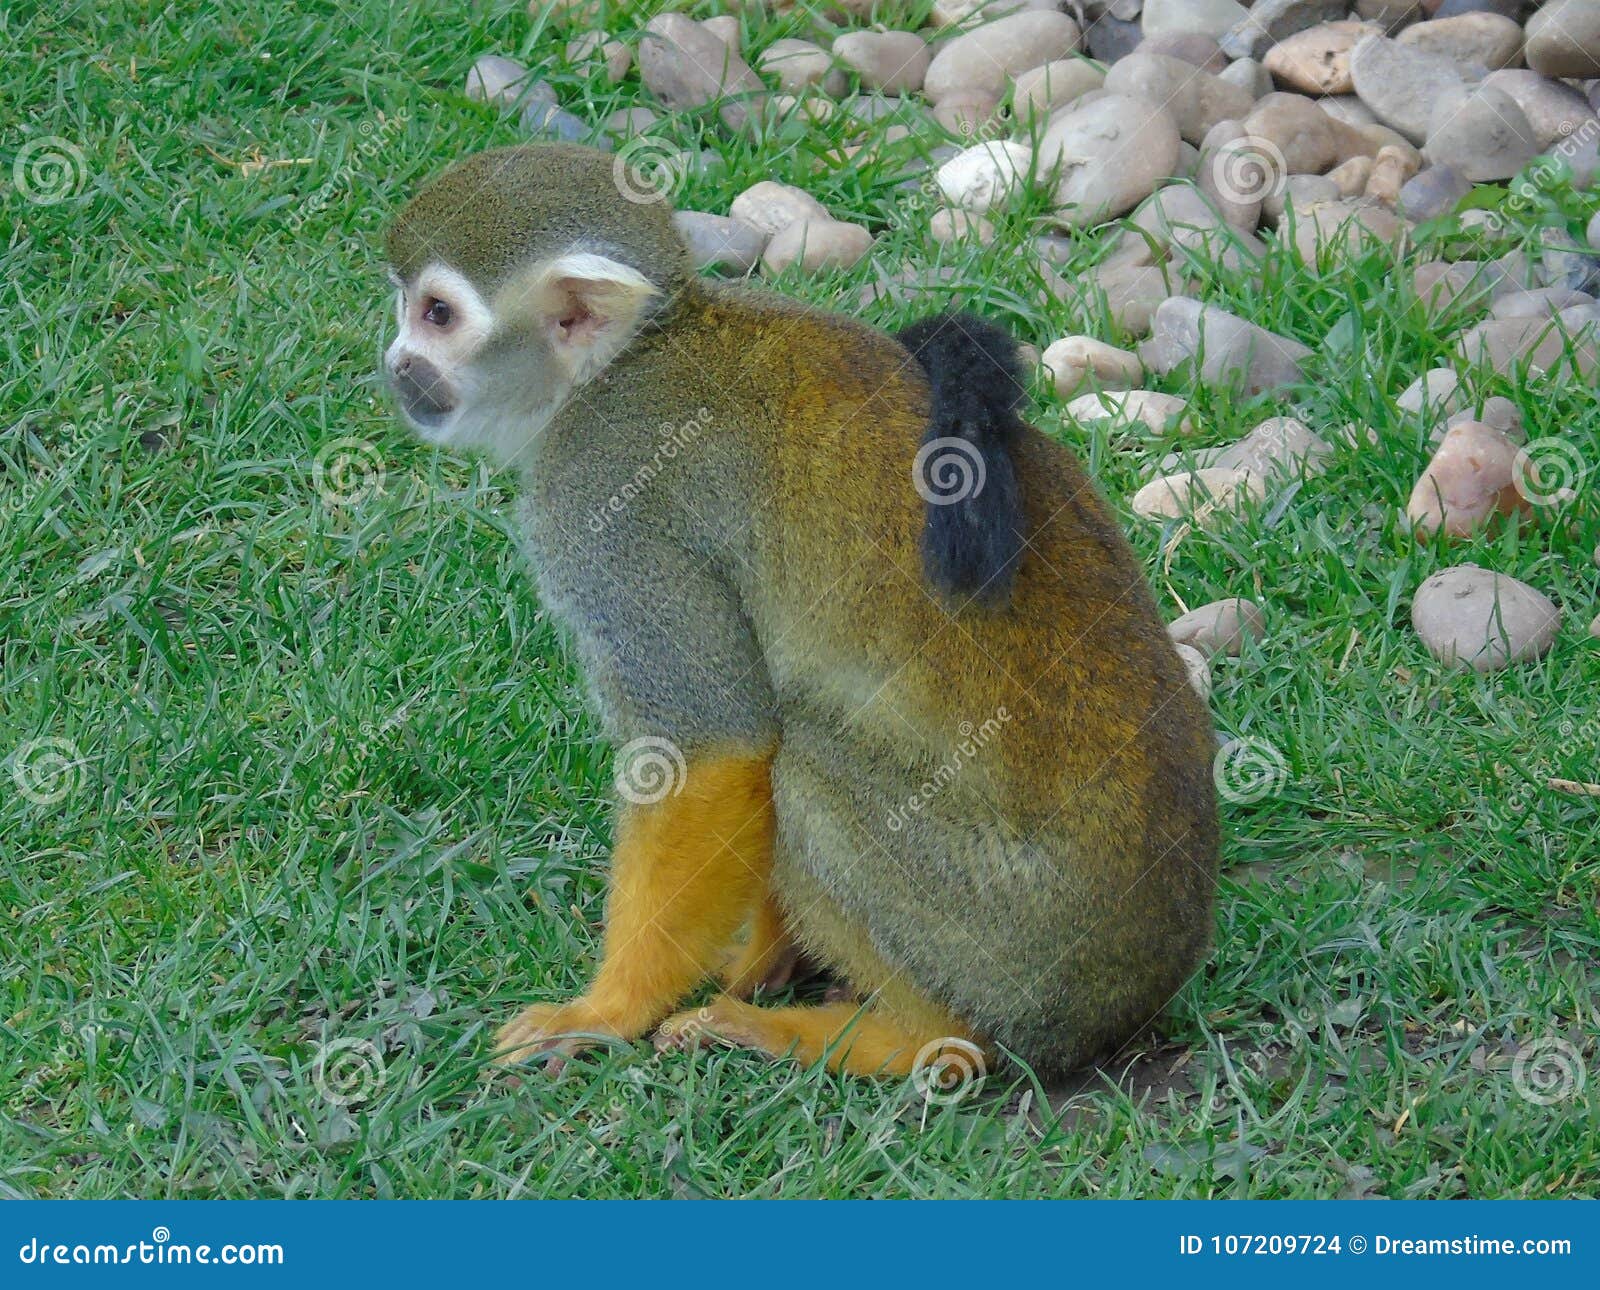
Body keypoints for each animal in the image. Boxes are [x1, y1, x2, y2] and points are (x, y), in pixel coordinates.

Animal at [381, 143, 1219, 1081]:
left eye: (438, 314)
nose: (397, 364)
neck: (626, 363)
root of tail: (1127, 1002)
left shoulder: (607, 503)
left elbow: (715, 748)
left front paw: (607, 1010)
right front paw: (758, 957)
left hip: (1007, 944)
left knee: (807, 766)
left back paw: (917, 1040)